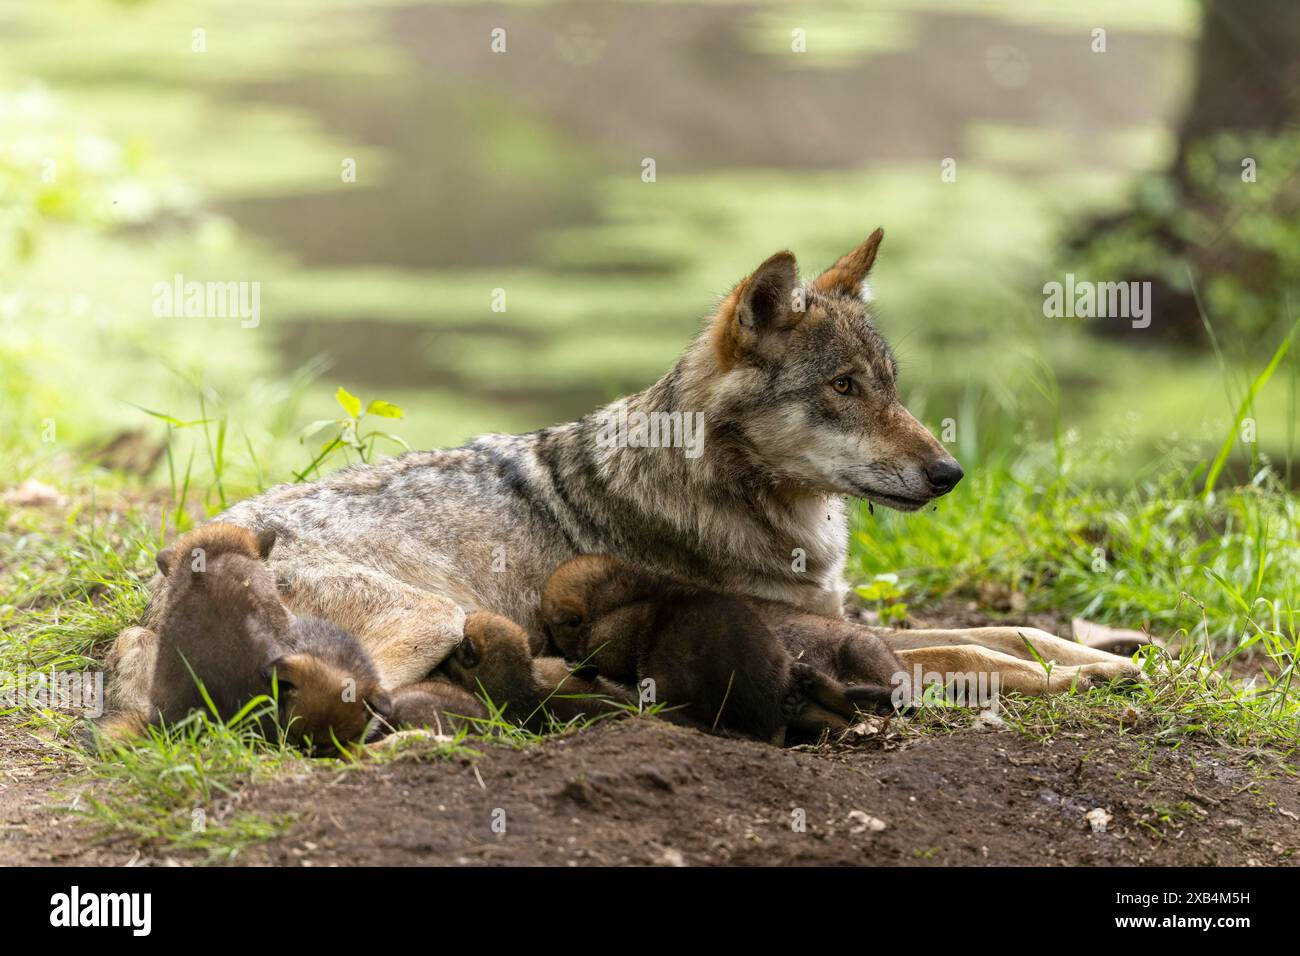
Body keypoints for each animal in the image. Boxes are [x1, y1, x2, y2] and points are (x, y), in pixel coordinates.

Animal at [104, 229, 1140, 723]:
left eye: (888, 386)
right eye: (842, 388)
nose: (950, 471)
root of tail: (161, 591)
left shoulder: (839, 617)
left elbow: (1007, 629)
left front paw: (1113, 656)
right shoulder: (804, 629)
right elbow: (977, 654)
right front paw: (1072, 678)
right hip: (424, 618)